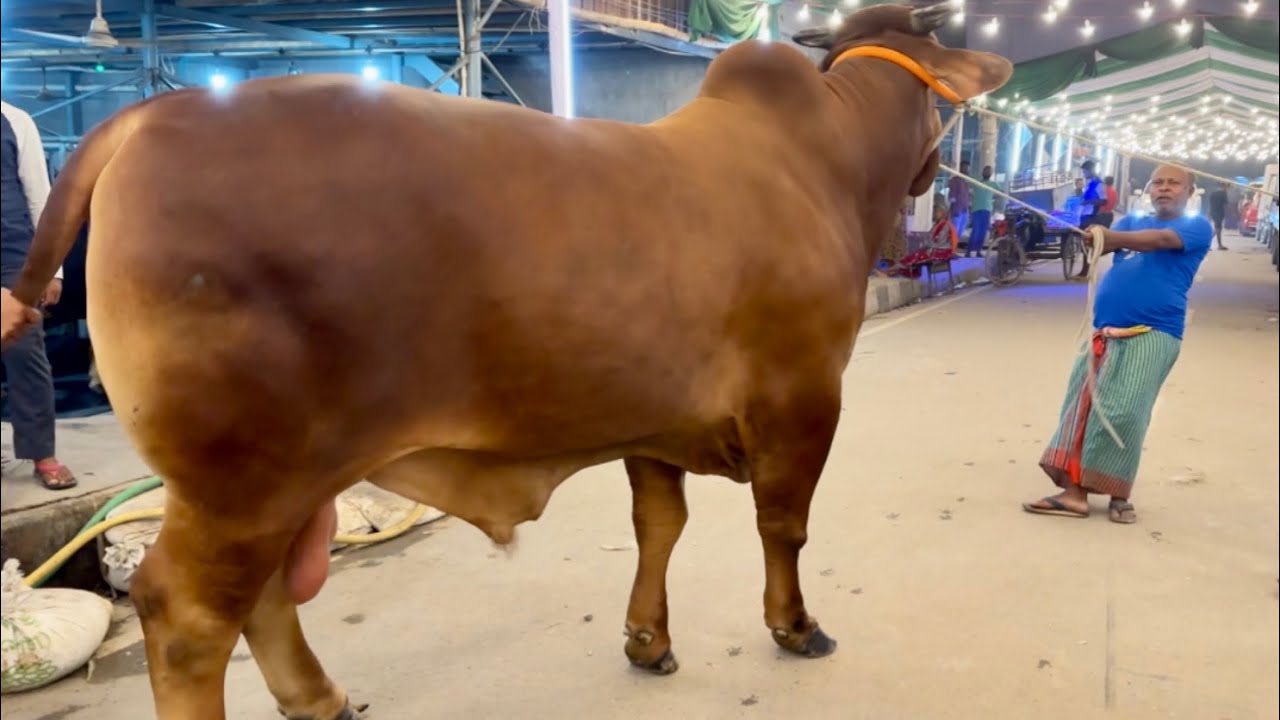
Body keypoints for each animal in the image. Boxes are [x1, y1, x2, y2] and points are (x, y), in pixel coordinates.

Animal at [1, 3, 1009, 718]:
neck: (825, 164)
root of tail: (150, 115)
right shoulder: (804, 398)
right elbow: (784, 526)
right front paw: (794, 626)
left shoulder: (654, 419)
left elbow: (660, 526)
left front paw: (648, 639)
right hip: (242, 477)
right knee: (187, 620)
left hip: (274, 479)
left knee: (265, 594)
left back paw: (320, 698)